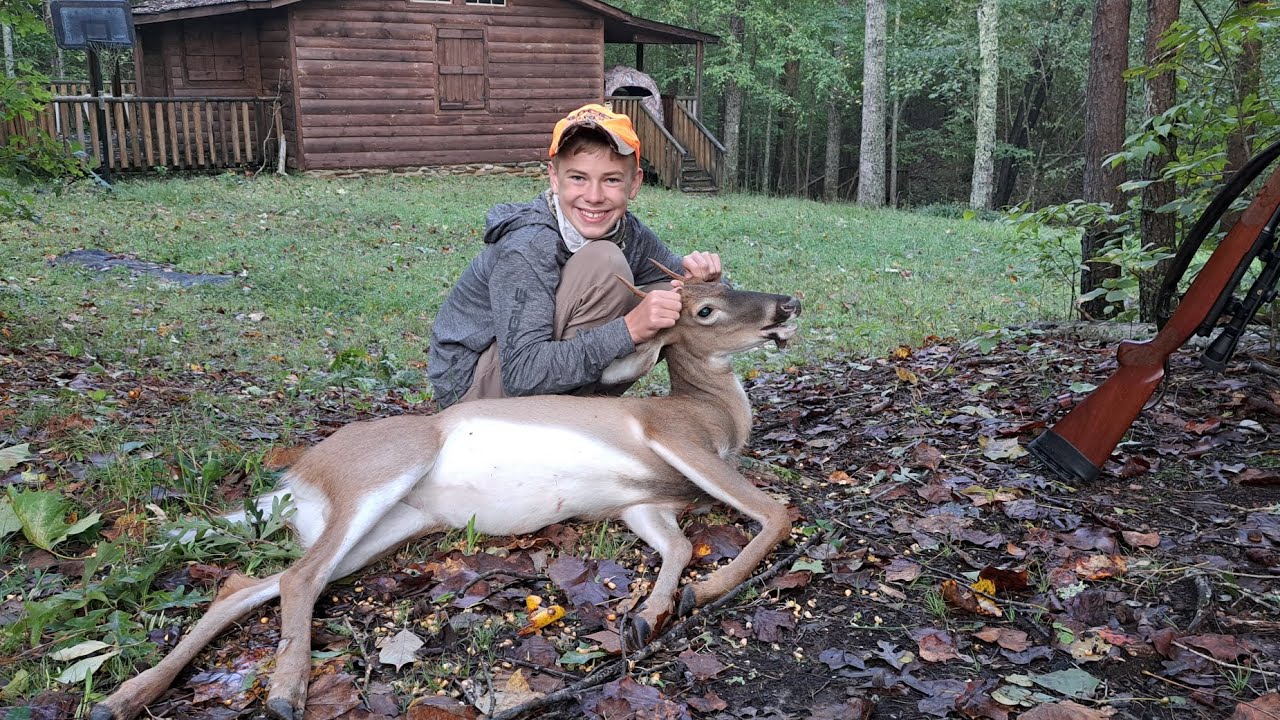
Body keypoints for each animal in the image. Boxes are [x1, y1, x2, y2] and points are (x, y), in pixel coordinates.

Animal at [91, 266, 801, 720]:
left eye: (730, 283)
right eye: (706, 309)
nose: (787, 304)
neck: (717, 415)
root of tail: (298, 476)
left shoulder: (644, 503)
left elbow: (678, 549)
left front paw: (648, 615)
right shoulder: (674, 440)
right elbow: (777, 512)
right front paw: (707, 590)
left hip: (388, 527)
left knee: (251, 583)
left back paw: (123, 698)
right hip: (382, 474)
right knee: (297, 579)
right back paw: (283, 693)